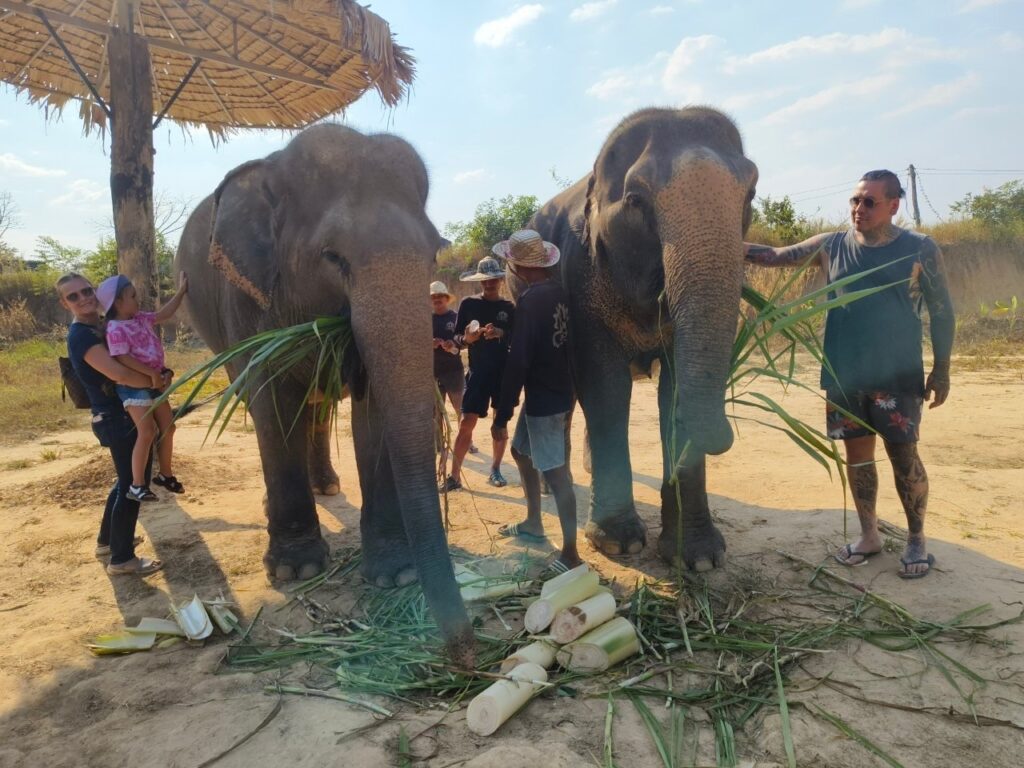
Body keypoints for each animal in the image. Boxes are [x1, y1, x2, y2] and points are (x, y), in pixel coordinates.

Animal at [175, 123, 474, 664]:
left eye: (434, 253)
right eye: (333, 257)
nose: (467, 658)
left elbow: (373, 410)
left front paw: (395, 575)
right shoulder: (246, 299)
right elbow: (272, 404)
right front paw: (297, 571)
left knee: (316, 407)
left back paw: (328, 487)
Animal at [529, 107, 758, 571]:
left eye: (752, 195)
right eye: (635, 200)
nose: (724, 435)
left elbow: (673, 388)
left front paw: (699, 559)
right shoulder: (582, 276)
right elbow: (607, 387)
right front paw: (619, 545)